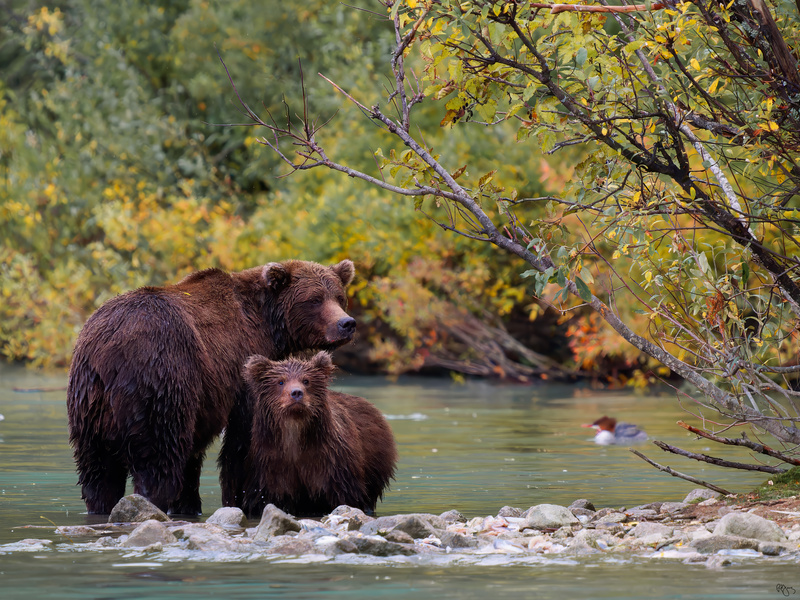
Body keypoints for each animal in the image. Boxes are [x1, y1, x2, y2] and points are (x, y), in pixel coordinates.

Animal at [66, 259, 356, 515]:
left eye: (338, 297)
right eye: (314, 299)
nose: (346, 324)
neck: (267, 325)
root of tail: (108, 354)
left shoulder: (203, 398)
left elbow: (192, 454)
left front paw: (187, 505)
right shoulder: (240, 371)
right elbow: (243, 440)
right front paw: (242, 499)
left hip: (88, 408)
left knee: (99, 473)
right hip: (158, 380)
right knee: (157, 460)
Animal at [235, 351, 396, 518]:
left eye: (306, 380)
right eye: (280, 382)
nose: (296, 393)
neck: (295, 433)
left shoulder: (331, 459)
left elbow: (345, 494)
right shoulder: (269, 462)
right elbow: (264, 496)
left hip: (376, 462)